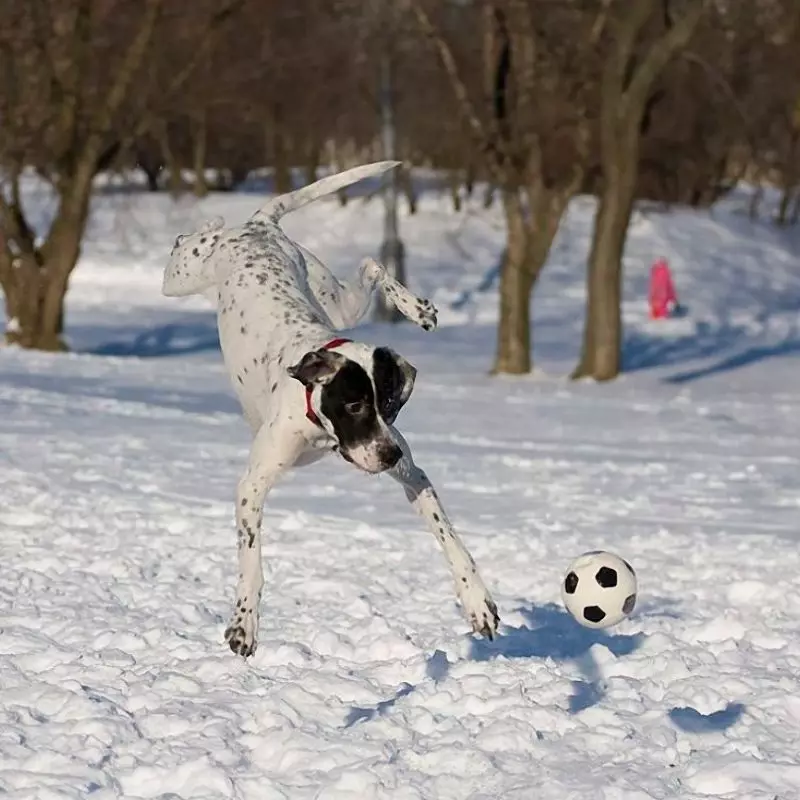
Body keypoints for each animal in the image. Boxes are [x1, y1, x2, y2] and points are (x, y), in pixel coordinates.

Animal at [162, 159, 496, 652]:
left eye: (389, 405)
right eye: (355, 404)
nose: (390, 454)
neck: (319, 425)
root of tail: (260, 226)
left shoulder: (414, 476)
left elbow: (449, 537)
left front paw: (477, 601)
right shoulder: (251, 487)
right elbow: (252, 562)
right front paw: (244, 622)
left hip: (338, 301)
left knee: (371, 265)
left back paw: (417, 309)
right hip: (184, 274)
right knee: (187, 240)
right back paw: (209, 222)